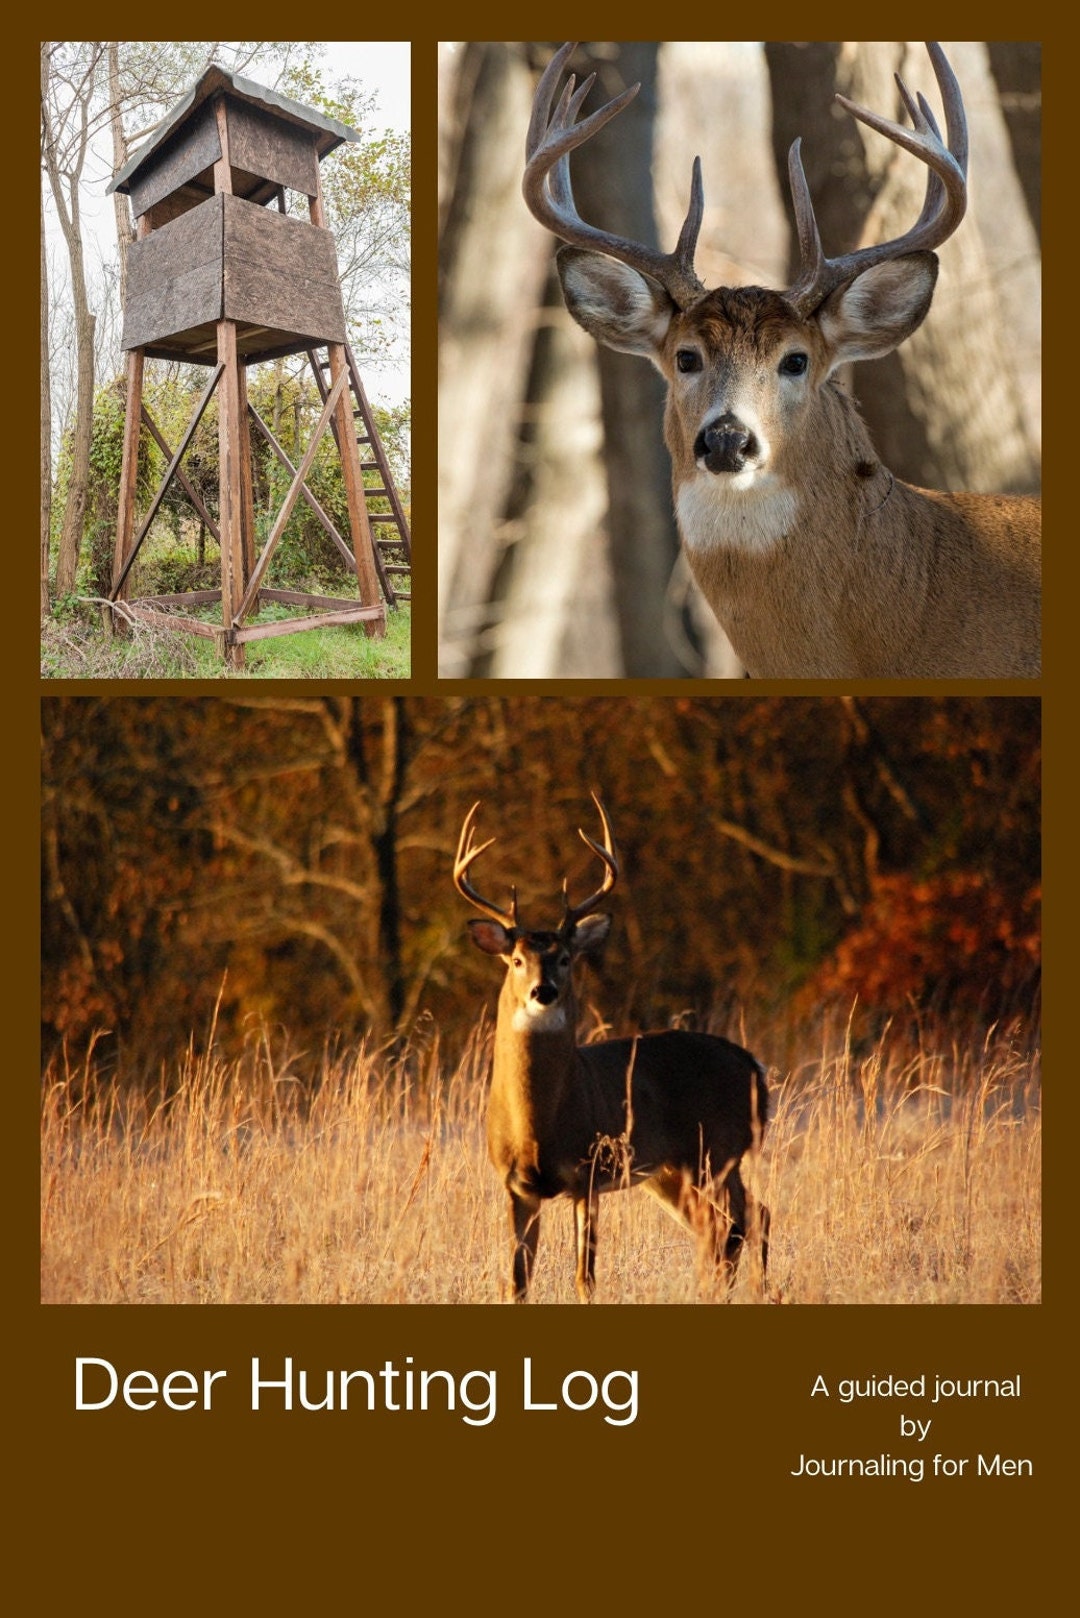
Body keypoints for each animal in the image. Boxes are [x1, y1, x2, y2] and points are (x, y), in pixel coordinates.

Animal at [454, 794, 770, 1302]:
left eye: (566, 958)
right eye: (517, 959)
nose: (544, 991)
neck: (538, 1126)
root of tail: (752, 1062)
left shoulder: (589, 1172)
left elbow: (585, 1276)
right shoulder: (516, 1186)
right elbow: (518, 1281)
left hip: (719, 1150)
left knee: (748, 1219)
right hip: (673, 1170)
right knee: (721, 1227)